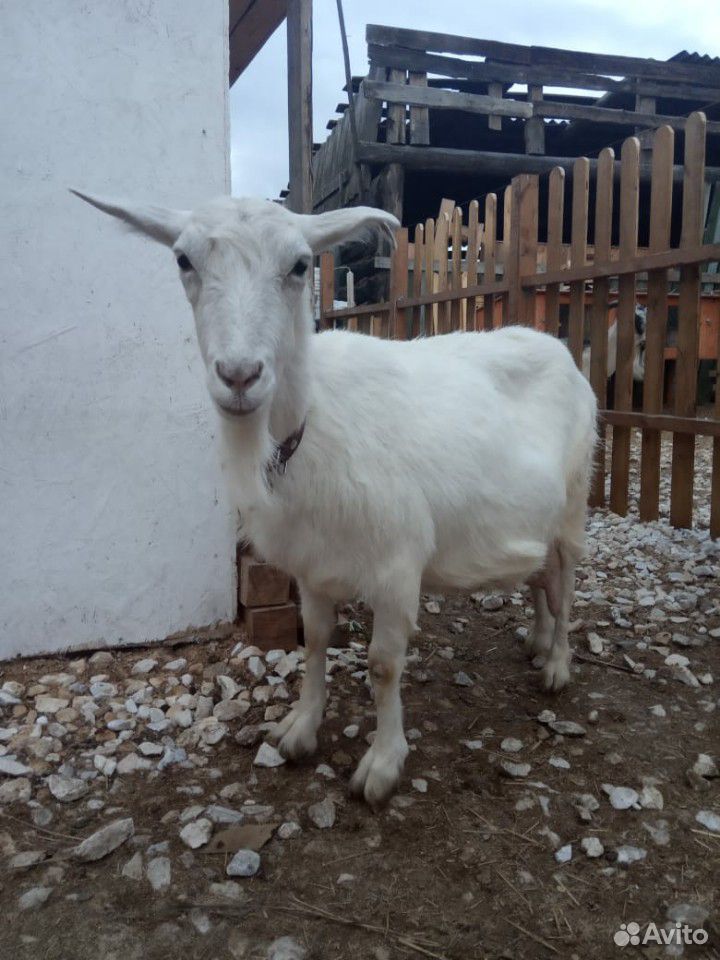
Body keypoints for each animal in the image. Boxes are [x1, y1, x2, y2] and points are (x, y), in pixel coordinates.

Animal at [73, 191, 597, 807]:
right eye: (183, 260)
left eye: (301, 265)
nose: (239, 375)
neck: (313, 422)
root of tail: (555, 345)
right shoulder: (311, 565)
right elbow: (316, 642)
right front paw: (300, 728)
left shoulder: (397, 567)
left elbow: (383, 666)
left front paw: (382, 764)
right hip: (534, 516)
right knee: (540, 579)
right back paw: (536, 642)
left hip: (574, 503)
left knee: (567, 586)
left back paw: (556, 664)